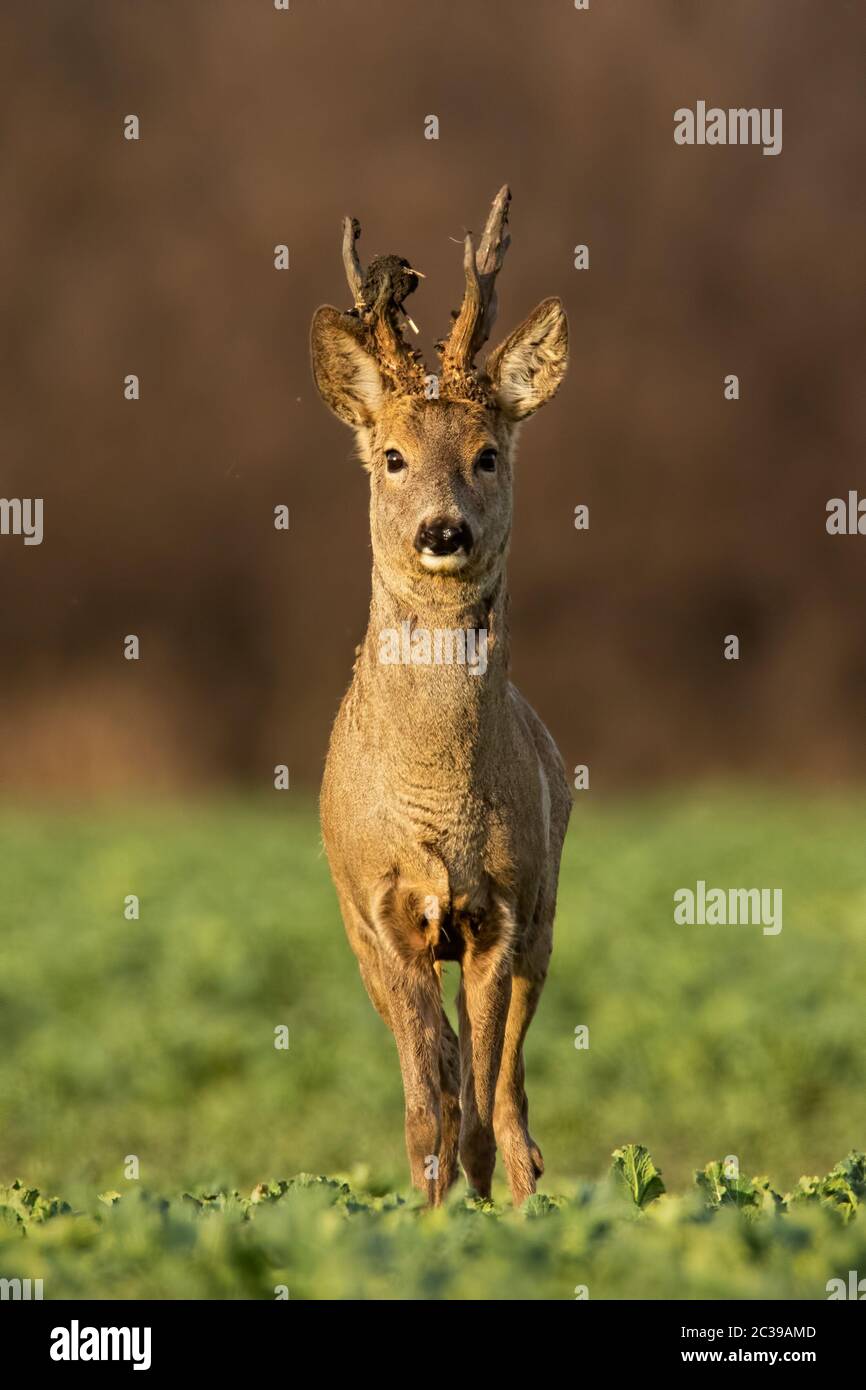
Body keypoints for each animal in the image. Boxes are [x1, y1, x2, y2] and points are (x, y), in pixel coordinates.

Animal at [311, 186, 571, 1207]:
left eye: (488, 453)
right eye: (390, 455)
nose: (443, 530)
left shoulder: (505, 903)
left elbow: (483, 1112)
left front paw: (481, 1216)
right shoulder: (379, 912)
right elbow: (428, 1108)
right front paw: (425, 1220)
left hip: (546, 913)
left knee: (507, 1096)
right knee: (456, 1077)